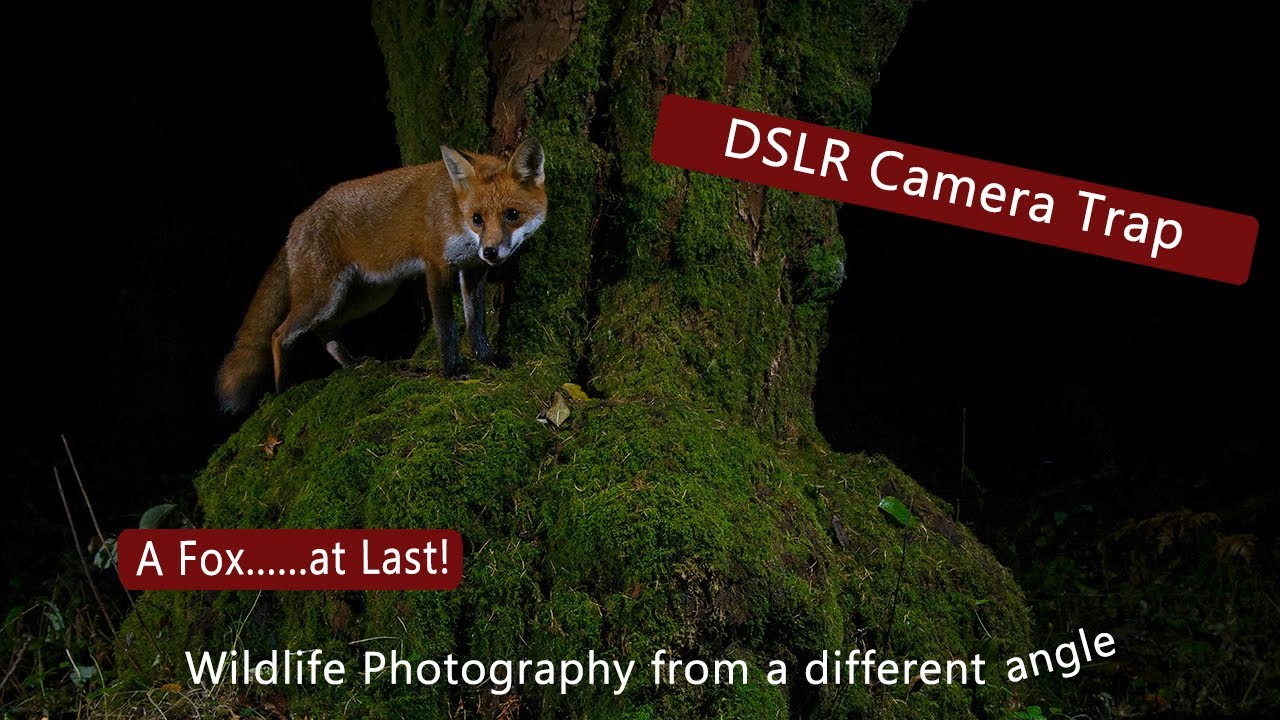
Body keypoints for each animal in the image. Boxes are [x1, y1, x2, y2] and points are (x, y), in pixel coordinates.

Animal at [215, 138, 546, 413]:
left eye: (512, 214)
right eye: (477, 219)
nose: (490, 251)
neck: (454, 210)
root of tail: (296, 222)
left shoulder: (473, 269)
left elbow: (475, 322)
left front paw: (486, 358)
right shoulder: (436, 266)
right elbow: (447, 327)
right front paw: (453, 369)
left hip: (364, 297)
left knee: (324, 330)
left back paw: (350, 364)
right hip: (323, 297)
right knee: (278, 334)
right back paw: (282, 387)